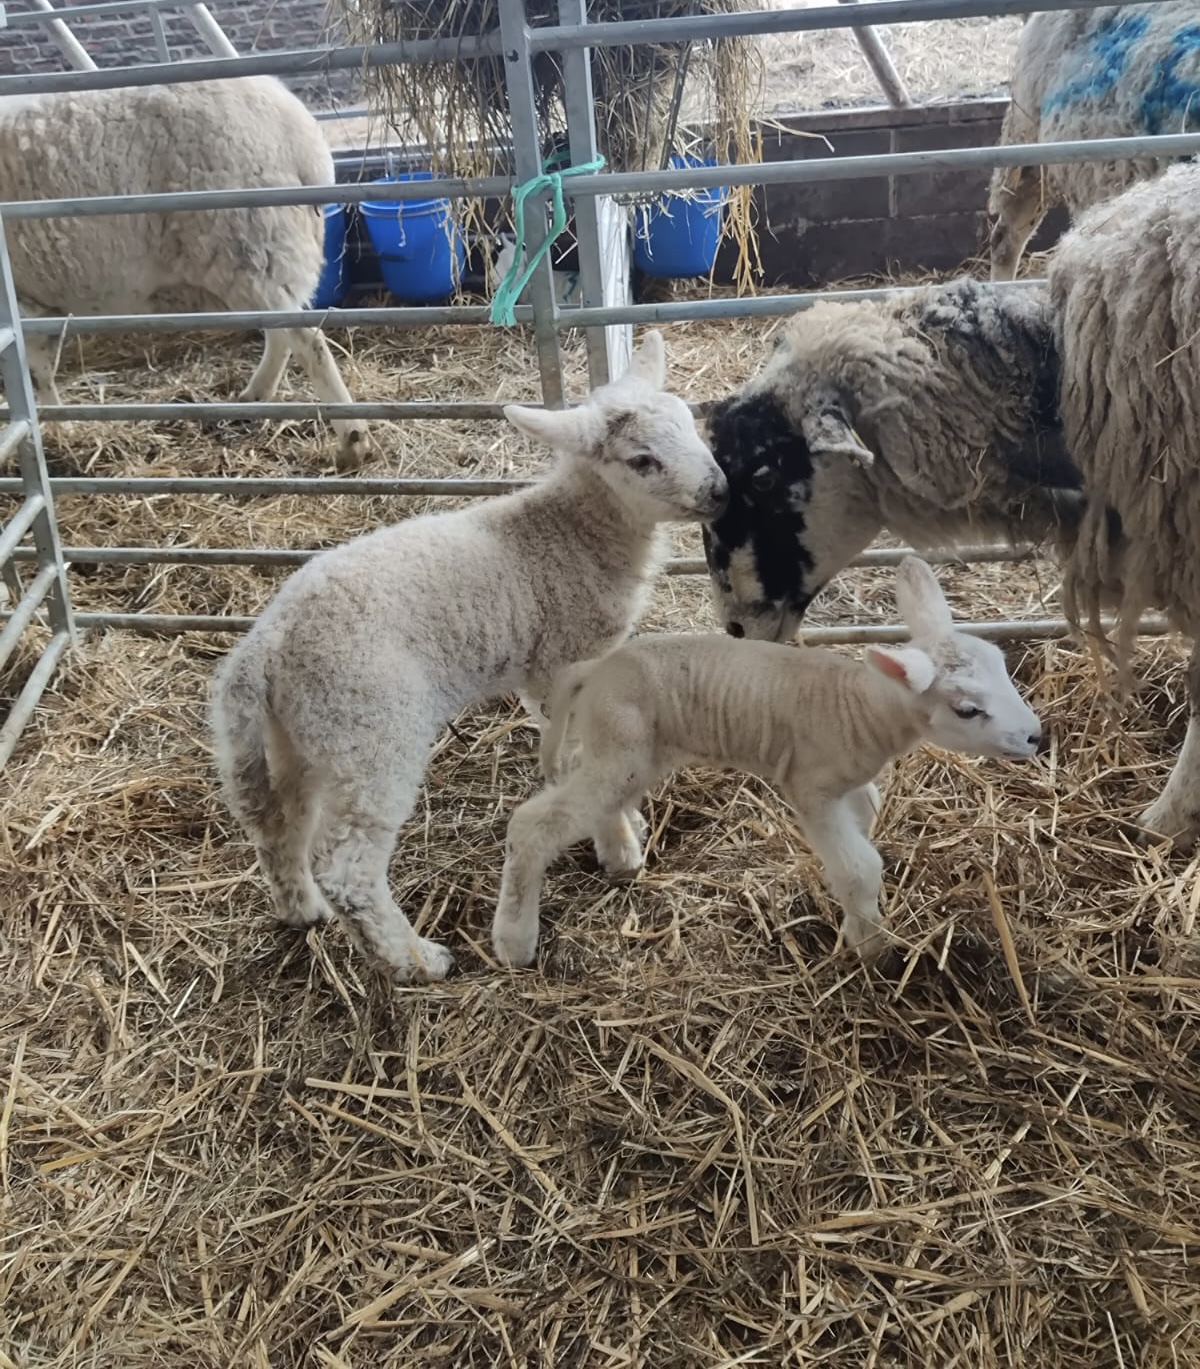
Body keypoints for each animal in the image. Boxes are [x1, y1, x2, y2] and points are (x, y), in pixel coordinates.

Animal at [0, 77, 367, 468]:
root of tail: (299, 131)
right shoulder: (37, 304)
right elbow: (40, 370)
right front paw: (58, 427)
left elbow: (34, 372)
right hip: (259, 257)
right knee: (282, 335)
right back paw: (255, 395)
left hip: (247, 244)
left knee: (308, 340)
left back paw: (352, 438)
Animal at [210, 331, 728, 983]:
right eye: (641, 460)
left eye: (690, 424)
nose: (721, 490)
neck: (575, 533)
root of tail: (265, 646)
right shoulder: (565, 661)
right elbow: (584, 758)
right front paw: (620, 849)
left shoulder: (546, 675)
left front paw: (621, 825)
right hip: (371, 731)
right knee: (350, 867)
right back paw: (415, 959)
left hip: (298, 739)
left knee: (280, 824)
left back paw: (302, 910)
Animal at [491, 555, 1042, 968]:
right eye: (967, 709)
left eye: (1003, 667)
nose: (1036, 736)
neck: (859, 708)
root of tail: (595, 669)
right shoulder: (811, 787)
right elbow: (859, 867)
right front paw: (870, 944)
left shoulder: (849, 785)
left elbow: (868, 812)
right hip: (622, 744)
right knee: (533, 825)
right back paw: (515, 942)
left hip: (626, 746)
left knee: (594, 788)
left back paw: (621, 852)